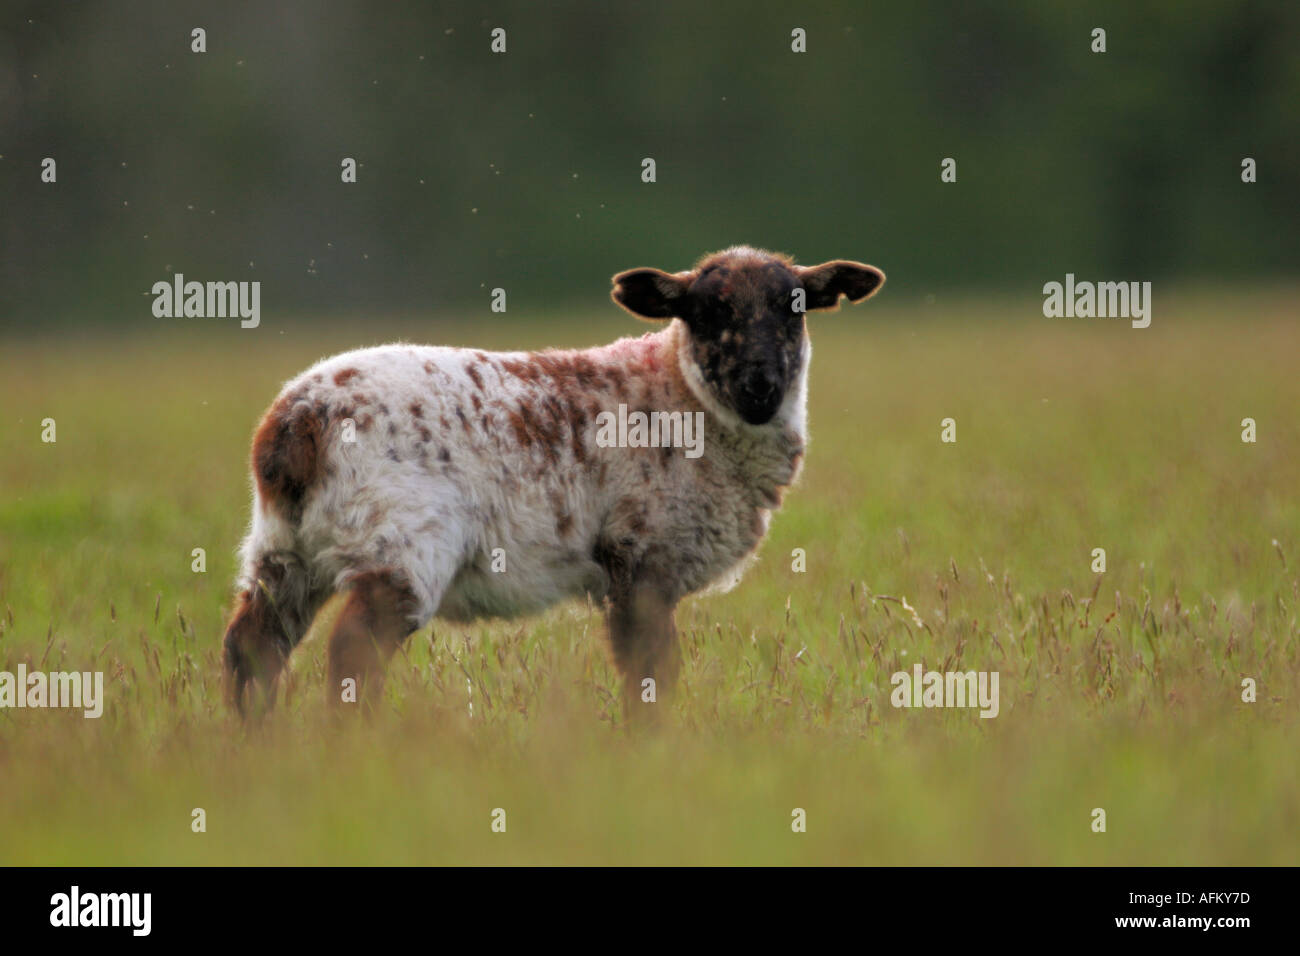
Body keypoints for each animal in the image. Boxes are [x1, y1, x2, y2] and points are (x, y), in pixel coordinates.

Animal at [222, 246, 885, 716]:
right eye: (703, 312)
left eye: (795, 308)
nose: (760, 386)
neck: (682, 397)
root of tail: (295, 423)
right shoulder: (639, 557)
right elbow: (652, 674)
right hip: (399, 541)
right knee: (352, 654)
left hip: (283, 548)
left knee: (251, 649)